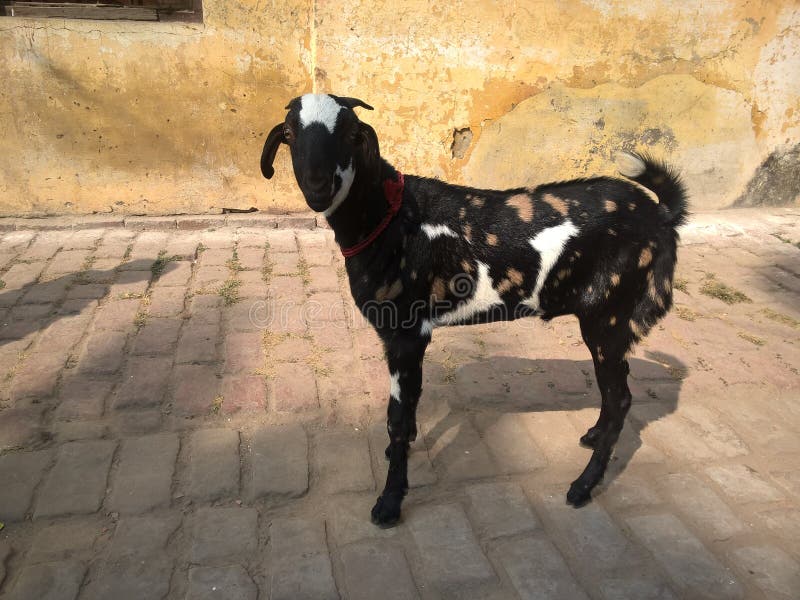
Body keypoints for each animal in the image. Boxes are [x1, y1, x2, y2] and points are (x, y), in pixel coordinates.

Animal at [261, 93, 688, 527]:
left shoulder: (406, 332)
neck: (390, 218)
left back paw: (583, 486)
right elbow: (408, 407)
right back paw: (593, 437)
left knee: (619, 399)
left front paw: (390, 501)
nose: (318, 185)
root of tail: (661, 214)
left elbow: (397, 417)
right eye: (289, 133)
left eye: (350, 132)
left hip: (608, 317)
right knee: (614, 392)